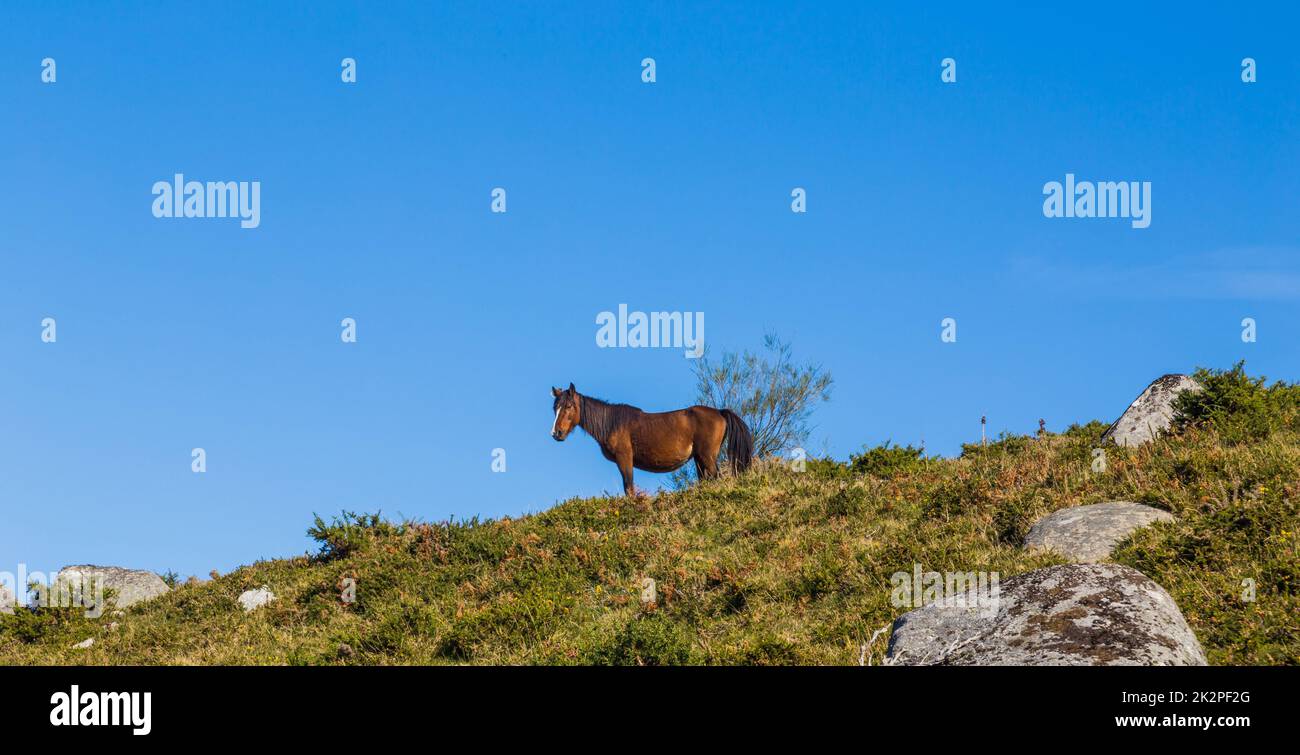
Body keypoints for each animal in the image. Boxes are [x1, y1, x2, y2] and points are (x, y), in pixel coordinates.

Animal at [549, 383, 754, 496]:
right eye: (555, 407)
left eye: (568, 406)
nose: (556, 433)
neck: (612, 423)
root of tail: (719, 412)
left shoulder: (625, 458)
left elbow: (629, 487)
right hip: (699, 459)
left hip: (707, 456)